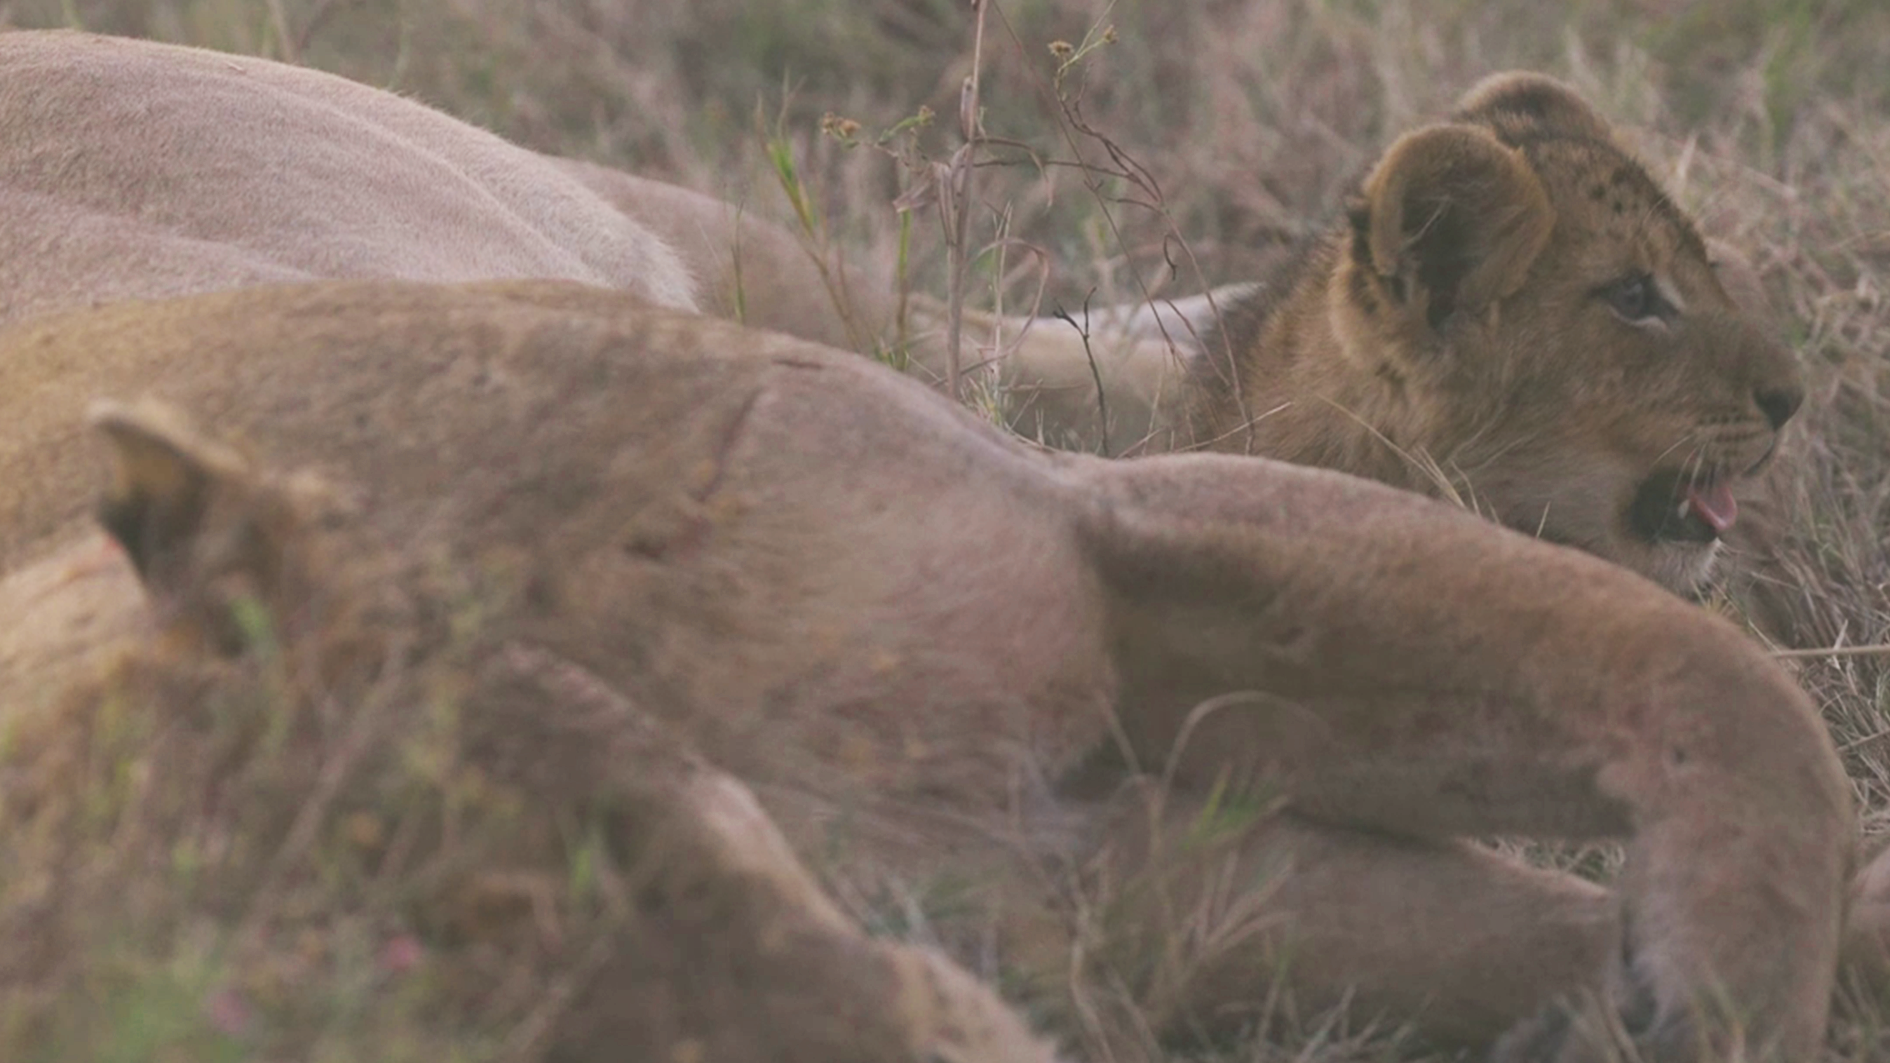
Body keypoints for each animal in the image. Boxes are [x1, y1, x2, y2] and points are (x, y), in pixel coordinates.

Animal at [4, 278, 1885, 1061]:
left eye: (645, 839)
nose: (971, 1047)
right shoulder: (1121, 888)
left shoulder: (1086, 534)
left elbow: (1721, 688)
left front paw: (1729, 989)